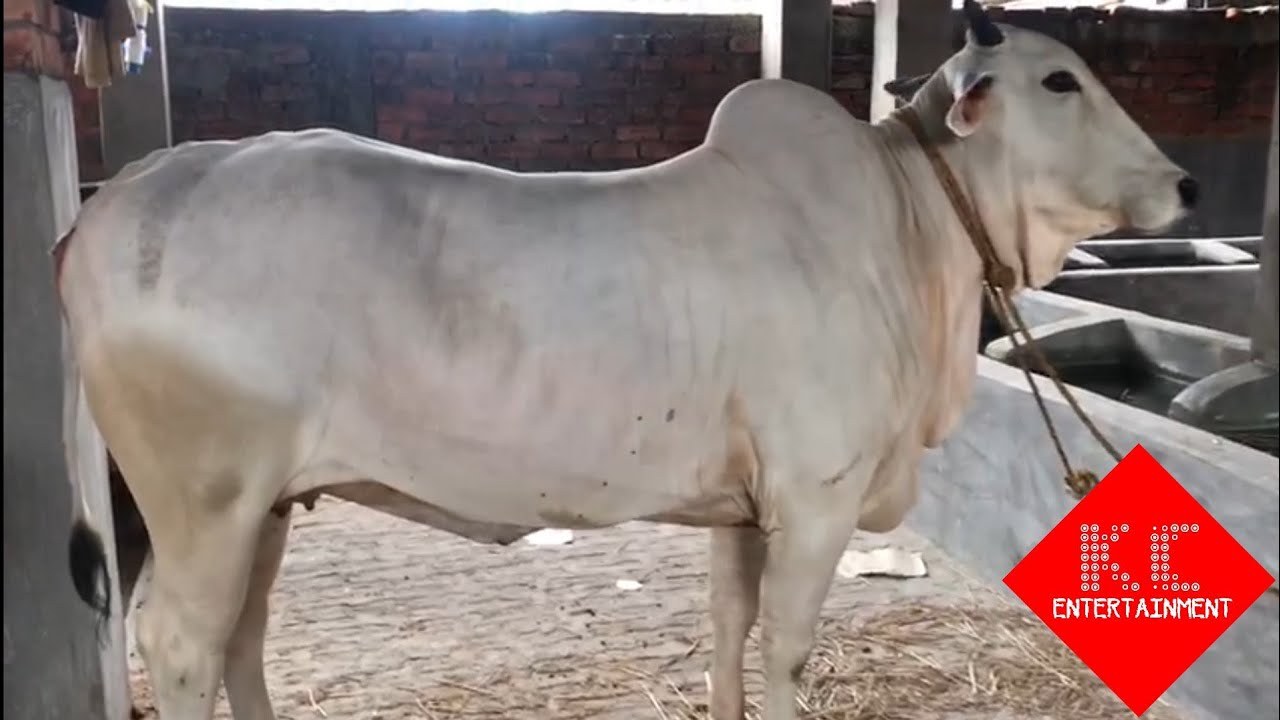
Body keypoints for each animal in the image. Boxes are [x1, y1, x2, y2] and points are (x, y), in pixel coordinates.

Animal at [59, 4, 1195, 719]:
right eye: (1059, 79)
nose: (1182, 184)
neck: (909, 227)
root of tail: (119, 198)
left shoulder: (746, 507)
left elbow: (730, 631)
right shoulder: (817, 497)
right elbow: (783, 646)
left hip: (267, 507)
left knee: (242, 641)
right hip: (202, 500)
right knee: (183, 649)